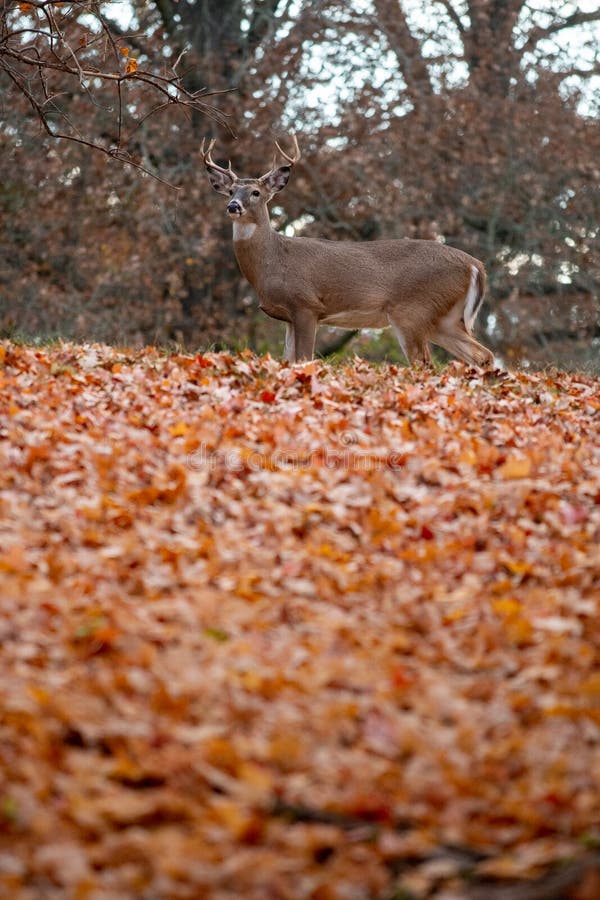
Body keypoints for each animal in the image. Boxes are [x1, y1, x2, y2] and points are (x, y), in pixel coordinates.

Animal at [200, 135, 495, 368]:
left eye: (256, 192)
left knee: (425, 363)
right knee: (482, 355)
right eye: (230, 191)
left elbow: (304, 358)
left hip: (413, 310)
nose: (233, 206)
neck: (273, 262)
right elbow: (288, 359)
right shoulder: (288, 316)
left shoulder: (306, 304)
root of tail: (476, 266)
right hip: (444, 319)